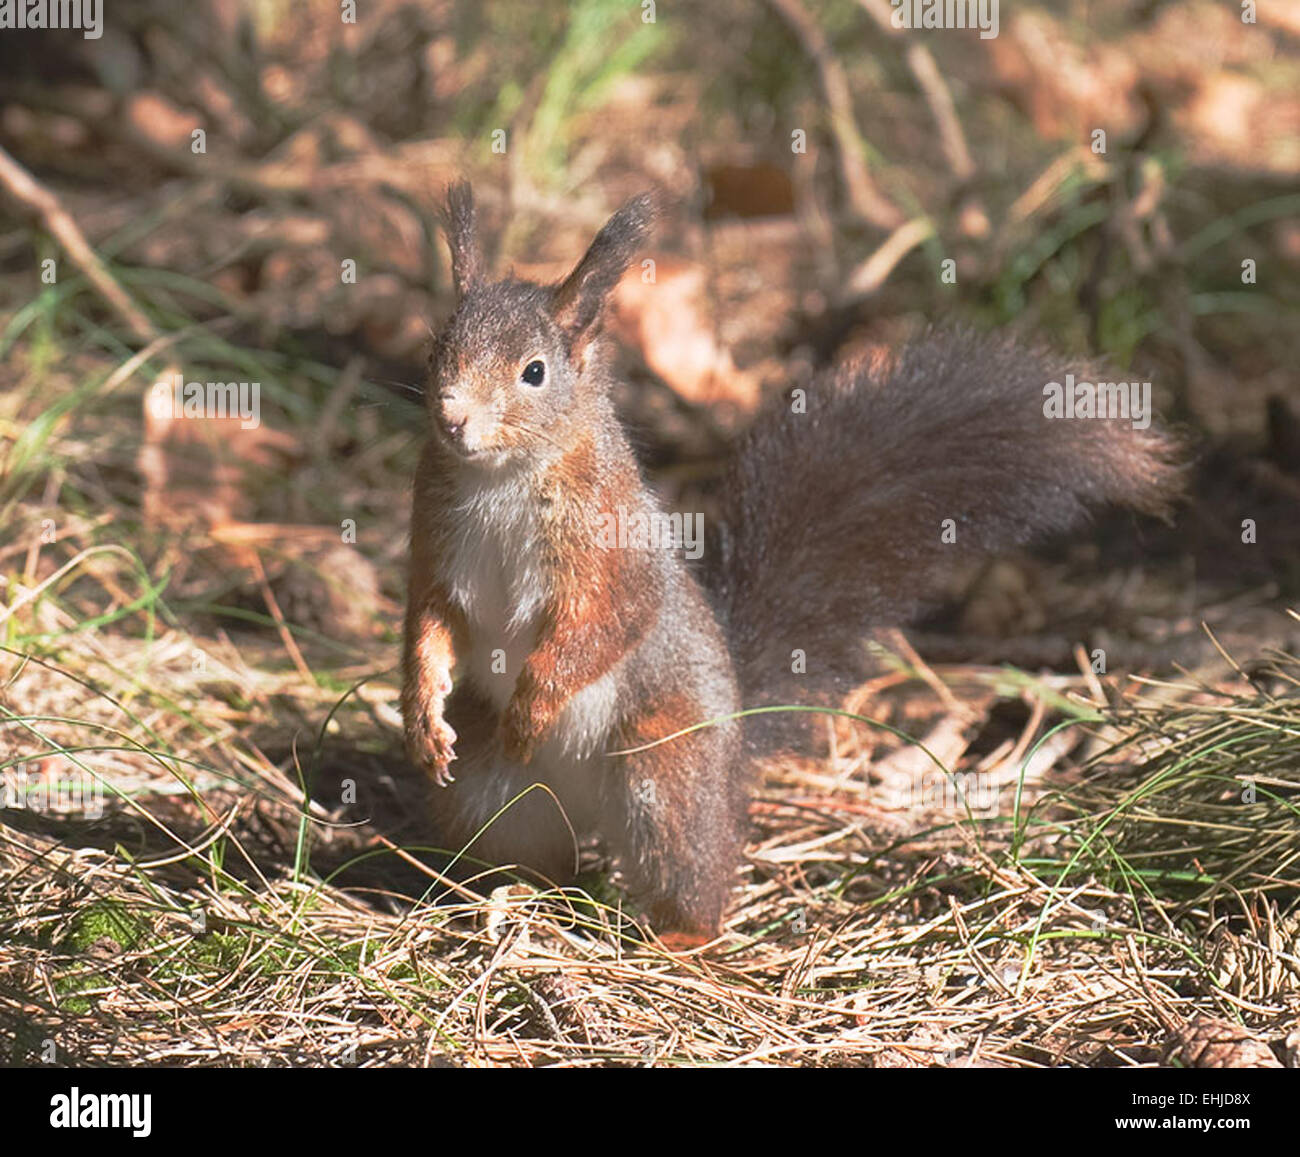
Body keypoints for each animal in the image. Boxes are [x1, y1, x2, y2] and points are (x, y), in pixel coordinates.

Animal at [402, 183, 1181, 939]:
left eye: (533, 372)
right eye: (438, 348)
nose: (452, 418)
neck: (500, 478)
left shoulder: (611, 551)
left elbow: (605, 626)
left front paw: (533, 706)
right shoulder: (434, 542)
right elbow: (430, 621)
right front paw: (422, 711)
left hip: (666, 776)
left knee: (694, 876)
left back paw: (678, 937)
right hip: (490, 798)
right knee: (526, 851)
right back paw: (494, 898)